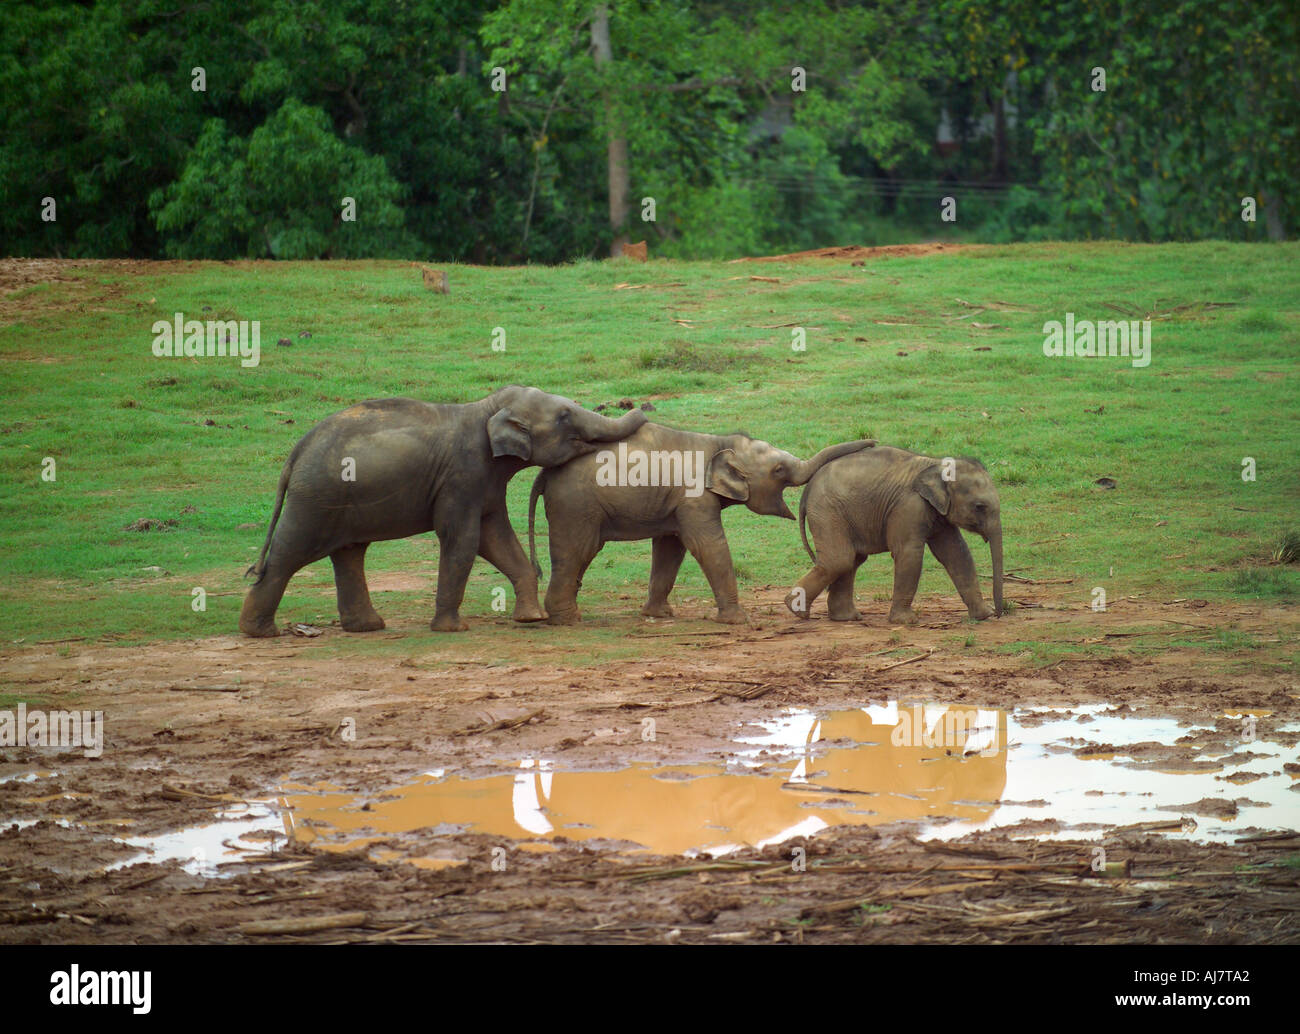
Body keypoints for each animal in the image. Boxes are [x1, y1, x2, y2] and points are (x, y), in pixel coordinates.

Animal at [238, 386, 647, 637]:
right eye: (564, 416)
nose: (643, 408)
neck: (486, 409)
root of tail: (295, 453)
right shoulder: (462, 476)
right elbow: (463, 540)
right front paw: (453, 629)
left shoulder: (486, 483)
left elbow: (497, 540)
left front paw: (532, 618)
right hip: (315, 499)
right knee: (290, 553)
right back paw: (259, 632)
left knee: (349, 553)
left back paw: (368, 627)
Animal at [527, 424, 875, 624]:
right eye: (778, 470)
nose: (872, 443)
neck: (718, 442)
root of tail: (544, 473)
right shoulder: (693, 496)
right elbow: (707, 545)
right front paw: (739, 620)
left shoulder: (676, 502)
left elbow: (671, 546)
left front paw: (658, 616)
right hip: (575, 505)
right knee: (578, 550)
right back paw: (567, 620)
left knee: (581, 554)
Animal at [785, 446, 1004, 624]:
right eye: (980, 507)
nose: (999, 613)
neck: (935, 464)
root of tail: (807, 489)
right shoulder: (909, 506)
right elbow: (909, 553)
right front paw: (906, 621)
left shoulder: (938, 514)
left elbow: (957, 553)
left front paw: (983, 615)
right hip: (827, 511)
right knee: (839, 560)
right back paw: (795, 609)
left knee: (851, 560)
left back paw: (845, 617)